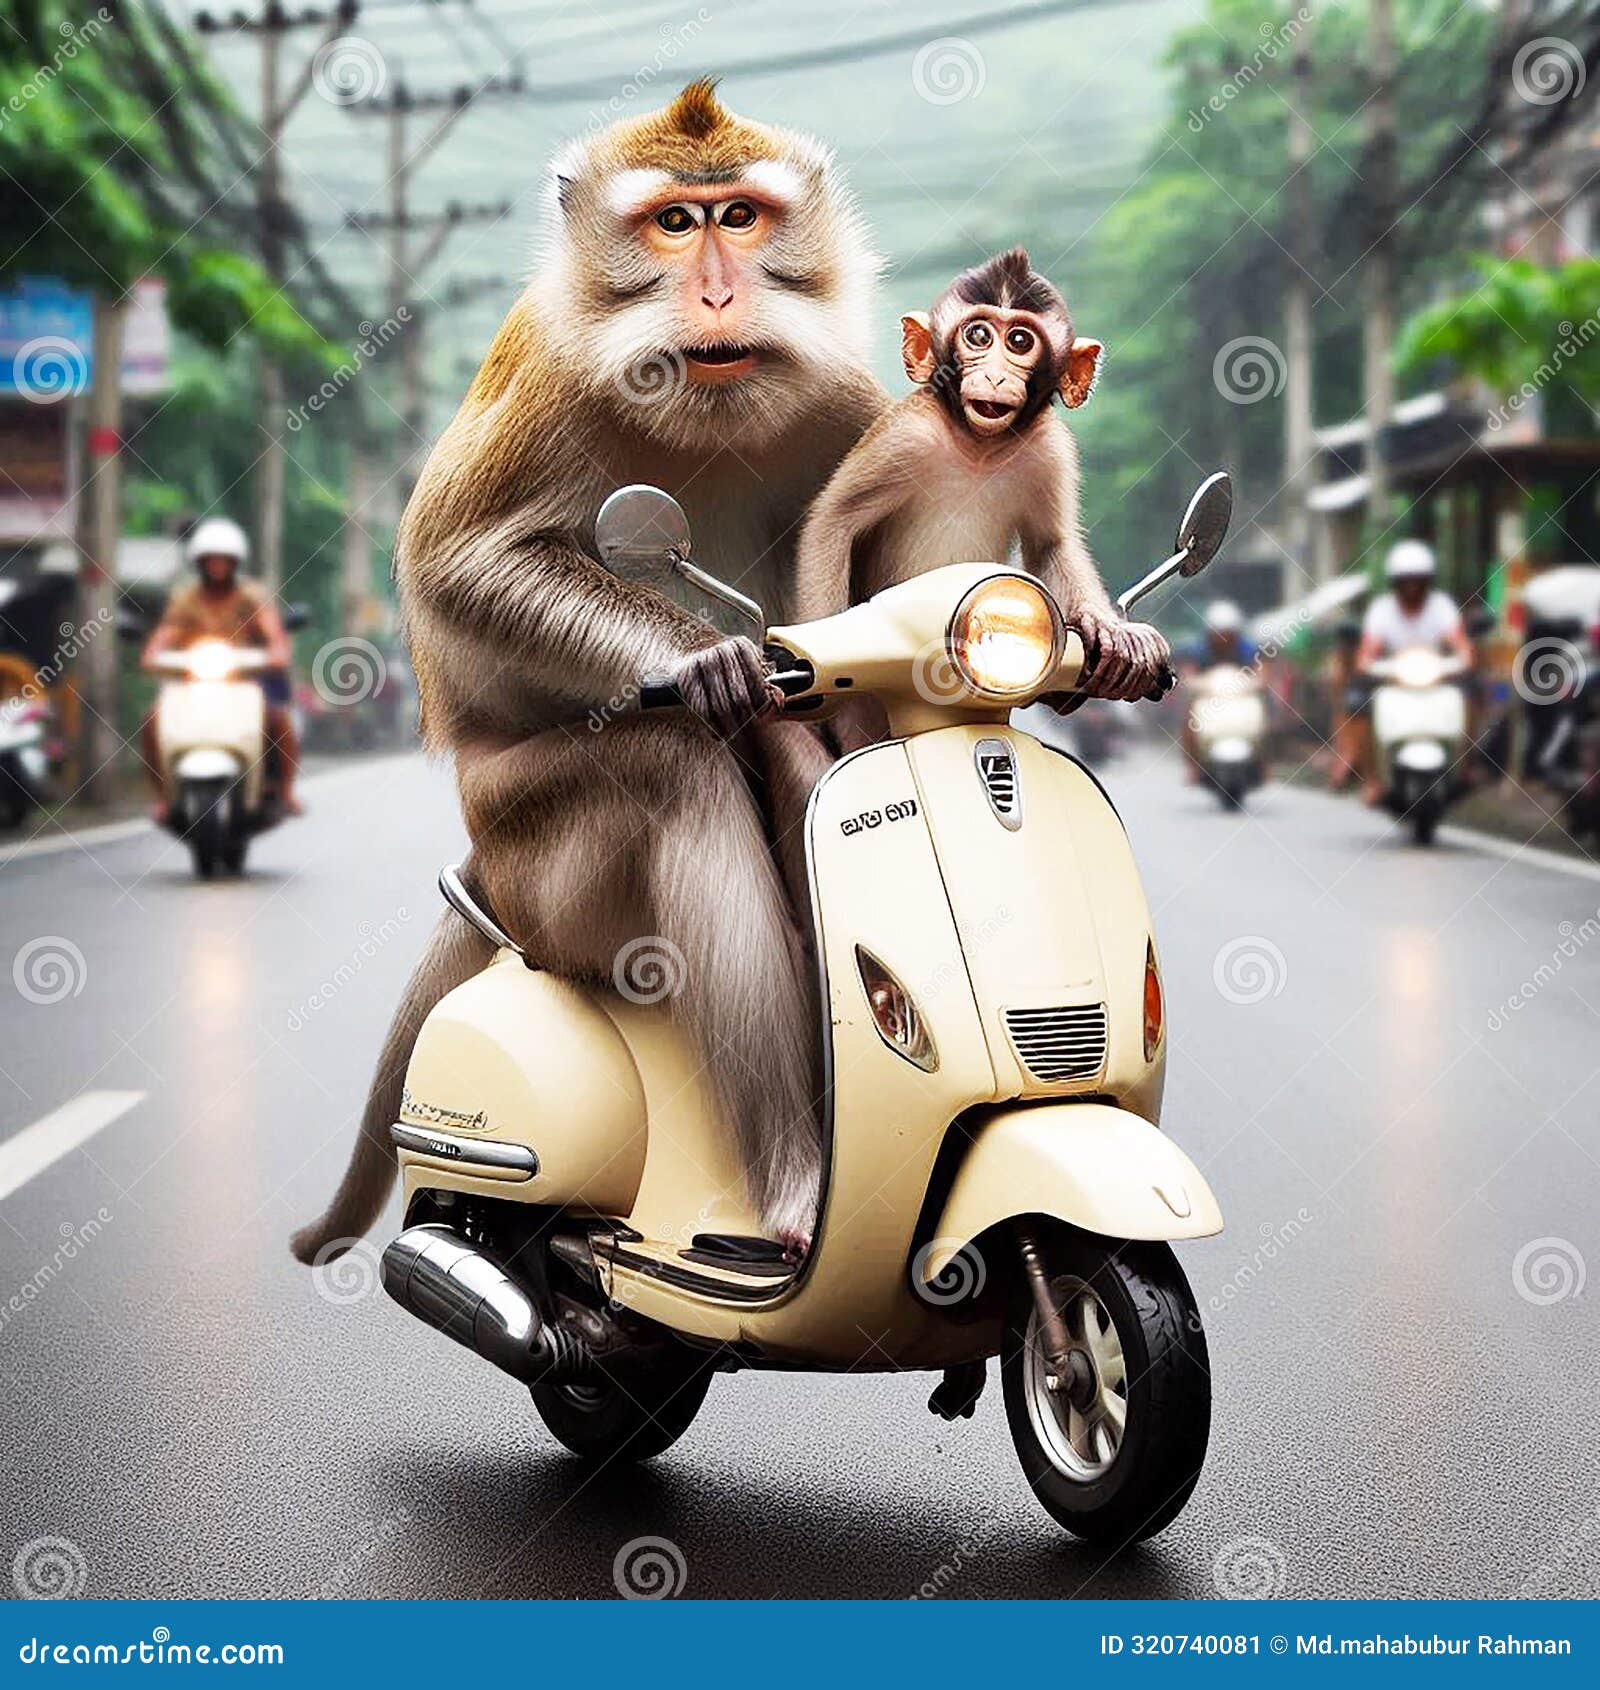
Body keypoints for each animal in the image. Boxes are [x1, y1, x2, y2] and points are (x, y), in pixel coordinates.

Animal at [291, 81, 886, 1266]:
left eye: (738, 216)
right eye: (673, 223)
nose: (715, 290)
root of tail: (482, 870)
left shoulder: (844, 395)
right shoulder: (549, 374)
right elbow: (461, 563)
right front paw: (704, 658)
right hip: (534, 856)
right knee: (669, 766)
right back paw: (795, 1186)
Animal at [794, 247, 1169, 745]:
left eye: (1019, 341)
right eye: (978, 335)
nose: (993, 377)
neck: (978, 448)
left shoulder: (1050, 448)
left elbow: (1051, 542)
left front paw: (1107, 629)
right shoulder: (906, 436)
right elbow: (834, 519)